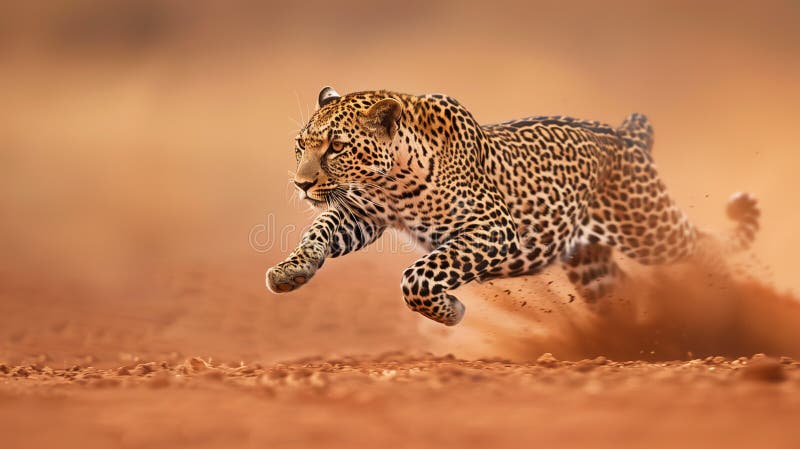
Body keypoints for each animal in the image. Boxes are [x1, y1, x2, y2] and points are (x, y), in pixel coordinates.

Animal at [266, 86, 760, 326]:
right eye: (301, 145)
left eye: (336, 147)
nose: (301, 183)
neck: (390, 180)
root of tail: (625, 134)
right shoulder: (362, 215)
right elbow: (319, 231)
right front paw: (291, 272)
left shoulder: (493, 229)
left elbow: (418, 276)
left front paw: (451, 311)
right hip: (591, 266)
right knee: (621, 290)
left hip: (650, 229)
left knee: (702, 244)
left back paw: (725, 294)